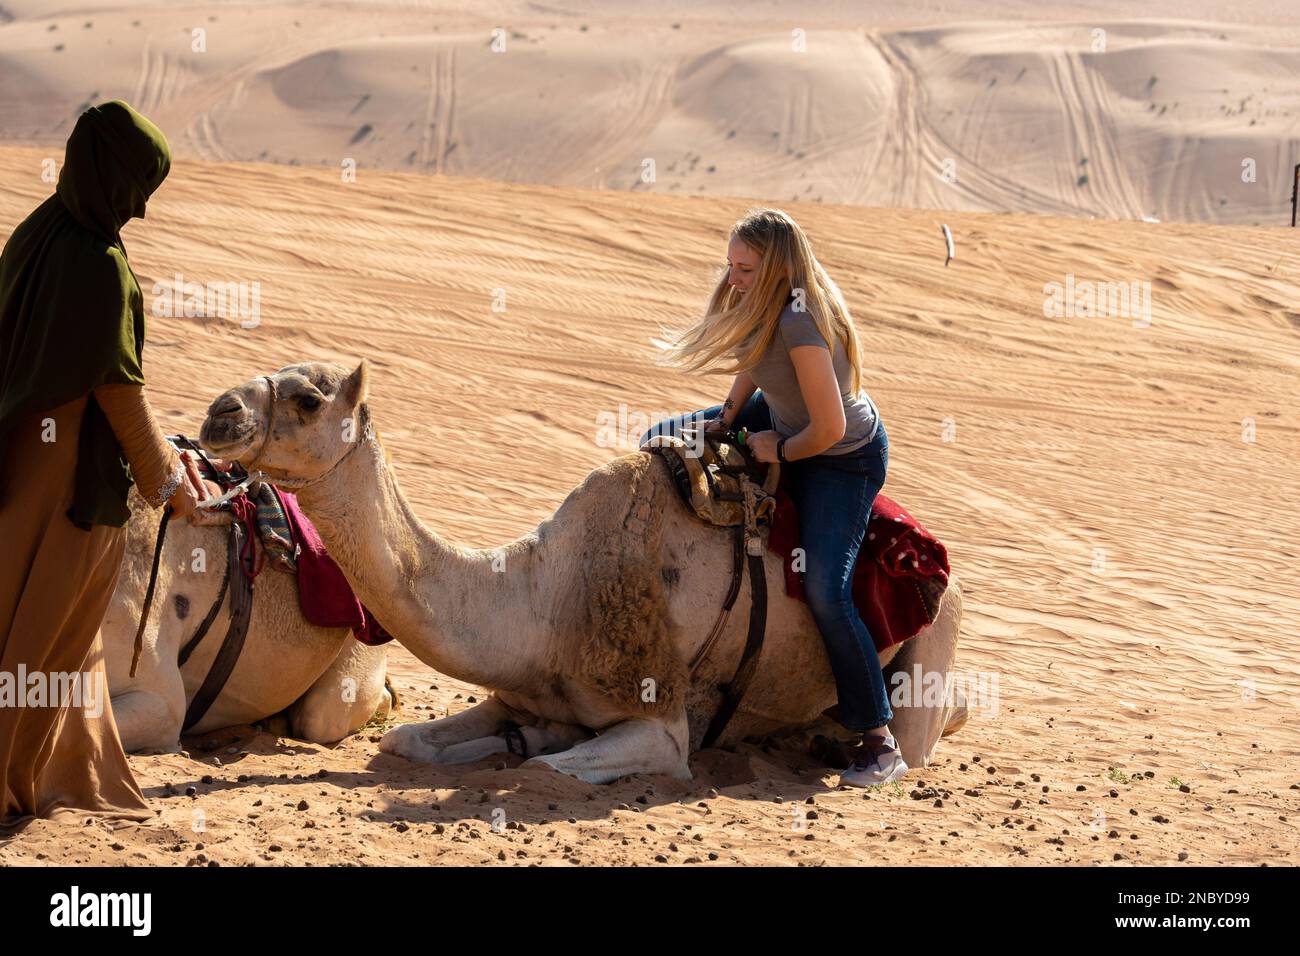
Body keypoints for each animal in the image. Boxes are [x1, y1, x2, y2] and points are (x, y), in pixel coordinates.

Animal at [198, 360, 967, 784]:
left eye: (307, 398)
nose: (218, 413)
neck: (544, 596)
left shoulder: (658, 720)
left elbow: (553, 766)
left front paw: (541, 748)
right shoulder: (517, 687)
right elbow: (403, 738)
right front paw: (519, 737)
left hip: (931, 642)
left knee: (917, 727)